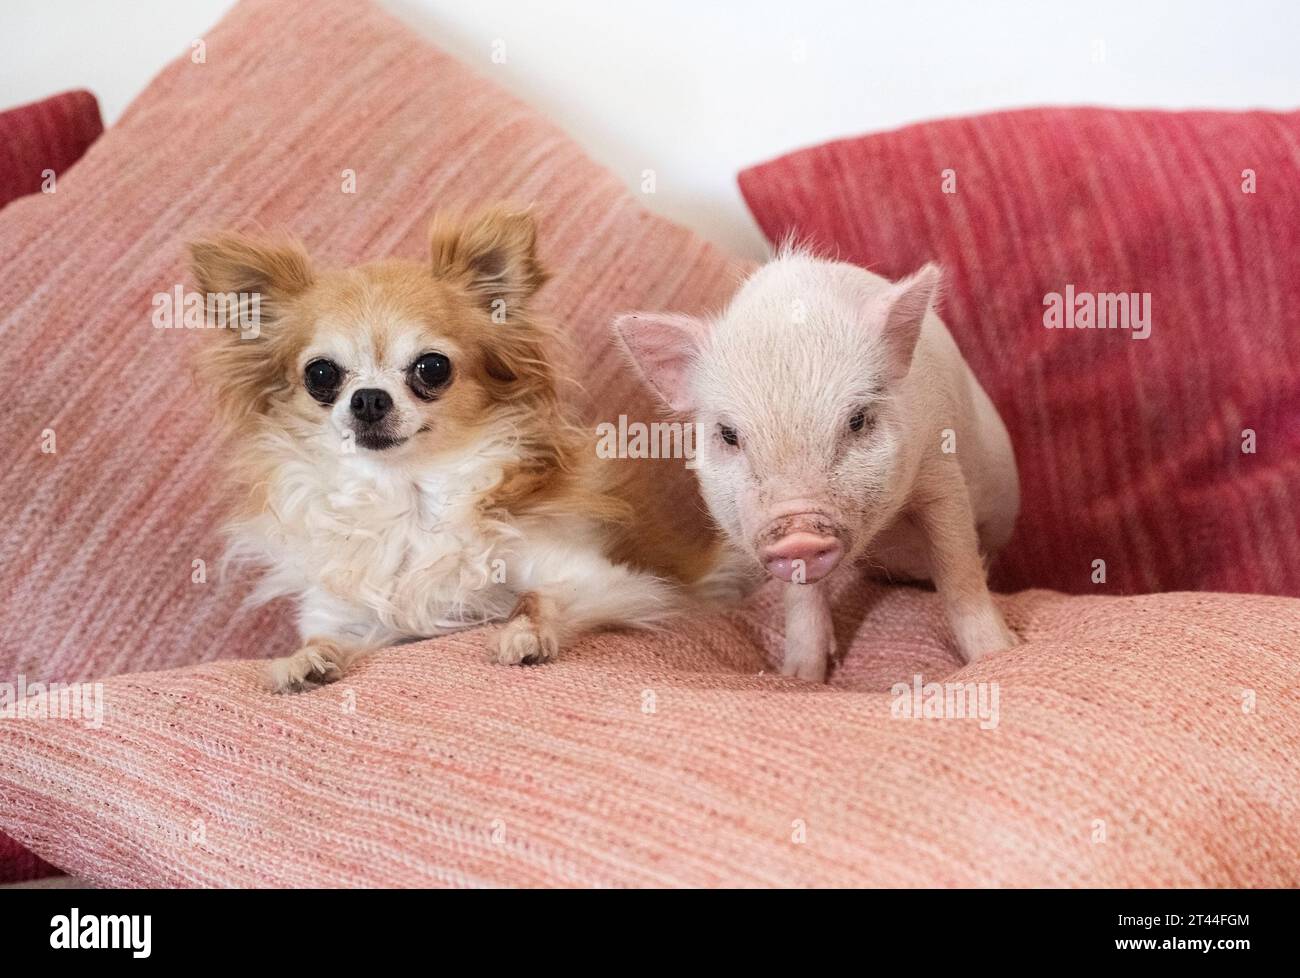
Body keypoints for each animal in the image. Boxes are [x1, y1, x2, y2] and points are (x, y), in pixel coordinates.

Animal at [613, 250, 1019, 681]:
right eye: (728, 434)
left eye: (857, 420)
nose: (799, 537)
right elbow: (801, 598)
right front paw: (798, 678)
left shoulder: (940, 467)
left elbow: (959, 568)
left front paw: (1000, 653)